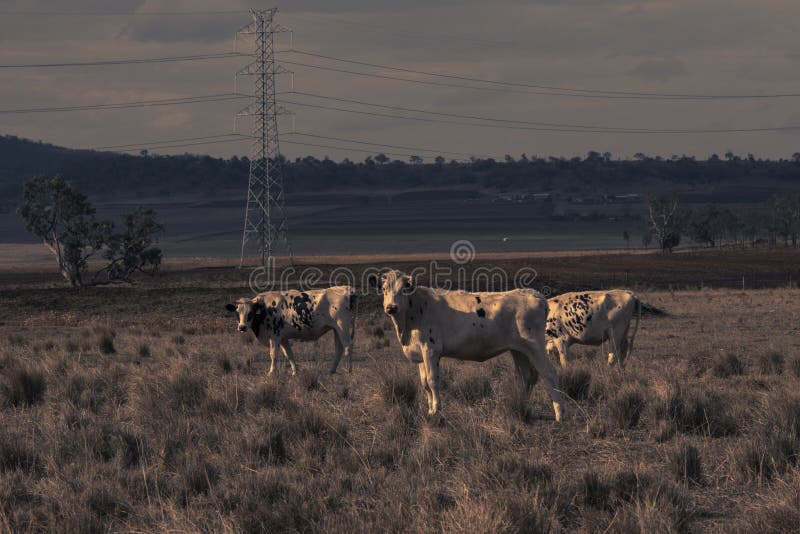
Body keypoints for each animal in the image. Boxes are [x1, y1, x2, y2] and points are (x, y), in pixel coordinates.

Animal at [225, 286, 357, 375]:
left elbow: (273, 355)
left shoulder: (274, 336)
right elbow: (289, 354)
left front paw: (271, 372)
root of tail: (346, 288)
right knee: (339, 348)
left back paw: (348, 370)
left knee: (348, 346)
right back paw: (332, 370)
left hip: (342, 327)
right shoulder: (283, 338)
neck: (265, 309)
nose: (242, 327)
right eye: (237, 312)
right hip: (336, 329)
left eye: (250, 312)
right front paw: (295, 371)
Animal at [373, 270, 563, 421]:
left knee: (549, 374)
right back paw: (523, 409)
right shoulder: (420, 354)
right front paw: (429, 409)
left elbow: (433, 380)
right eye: (384, 289)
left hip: (535, 346)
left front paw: (437, 410)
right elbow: (424, 383)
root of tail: (534, 294)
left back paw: (560, 414)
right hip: (518, 349)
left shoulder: (431, 350)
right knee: (526, 376)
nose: (391, 307)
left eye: (404, 289)